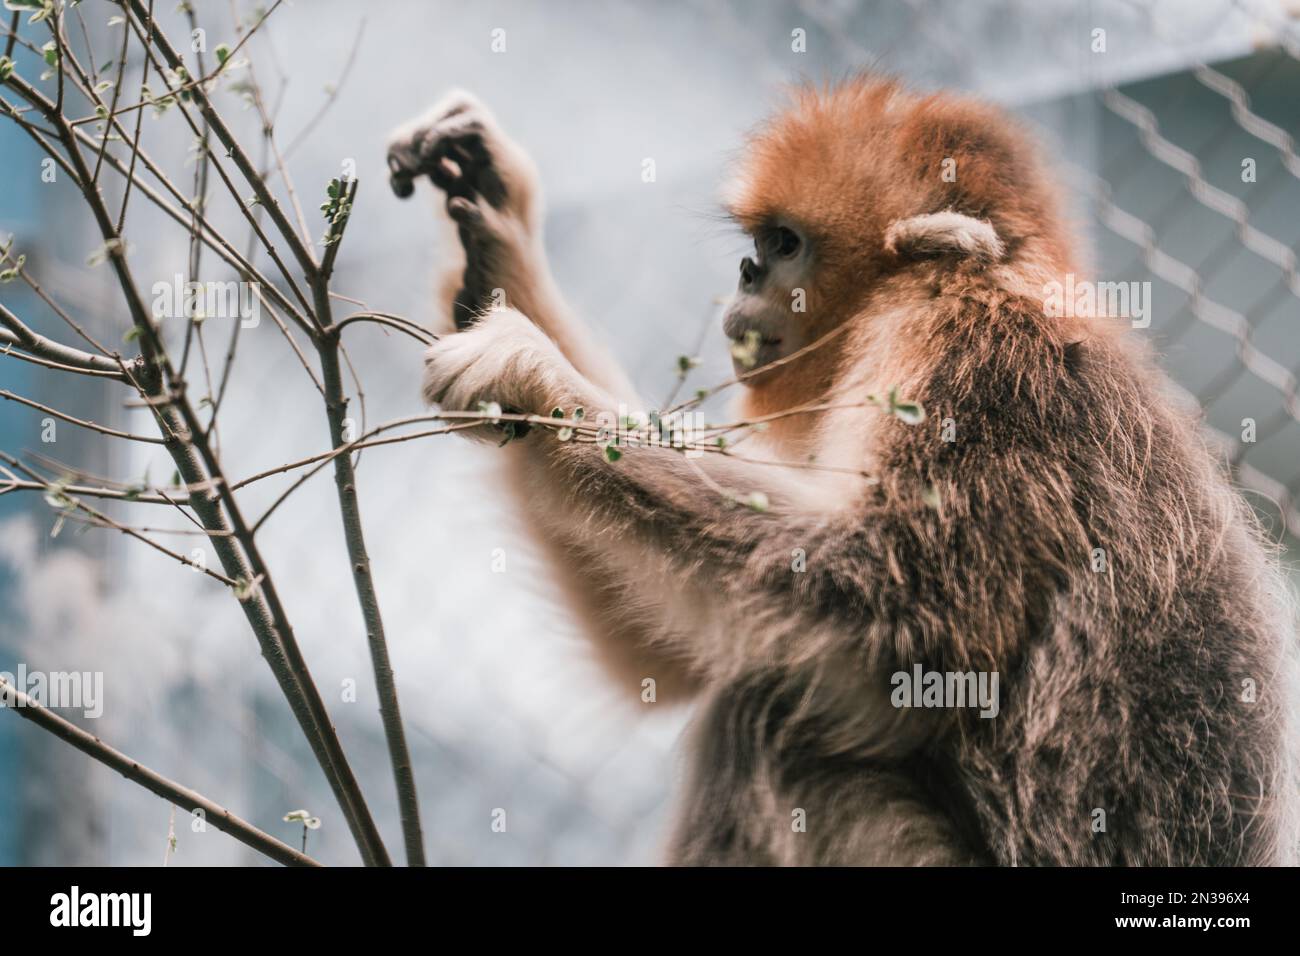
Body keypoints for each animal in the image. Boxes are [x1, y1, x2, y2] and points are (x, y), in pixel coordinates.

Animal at [386, 76, 1298, 866]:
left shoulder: (963, 360)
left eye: (783, 245)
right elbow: (667, 660)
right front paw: (497, 230)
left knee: (769, 721)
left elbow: (896, 623)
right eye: (756, 246)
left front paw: (528, 375)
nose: (747, 273)